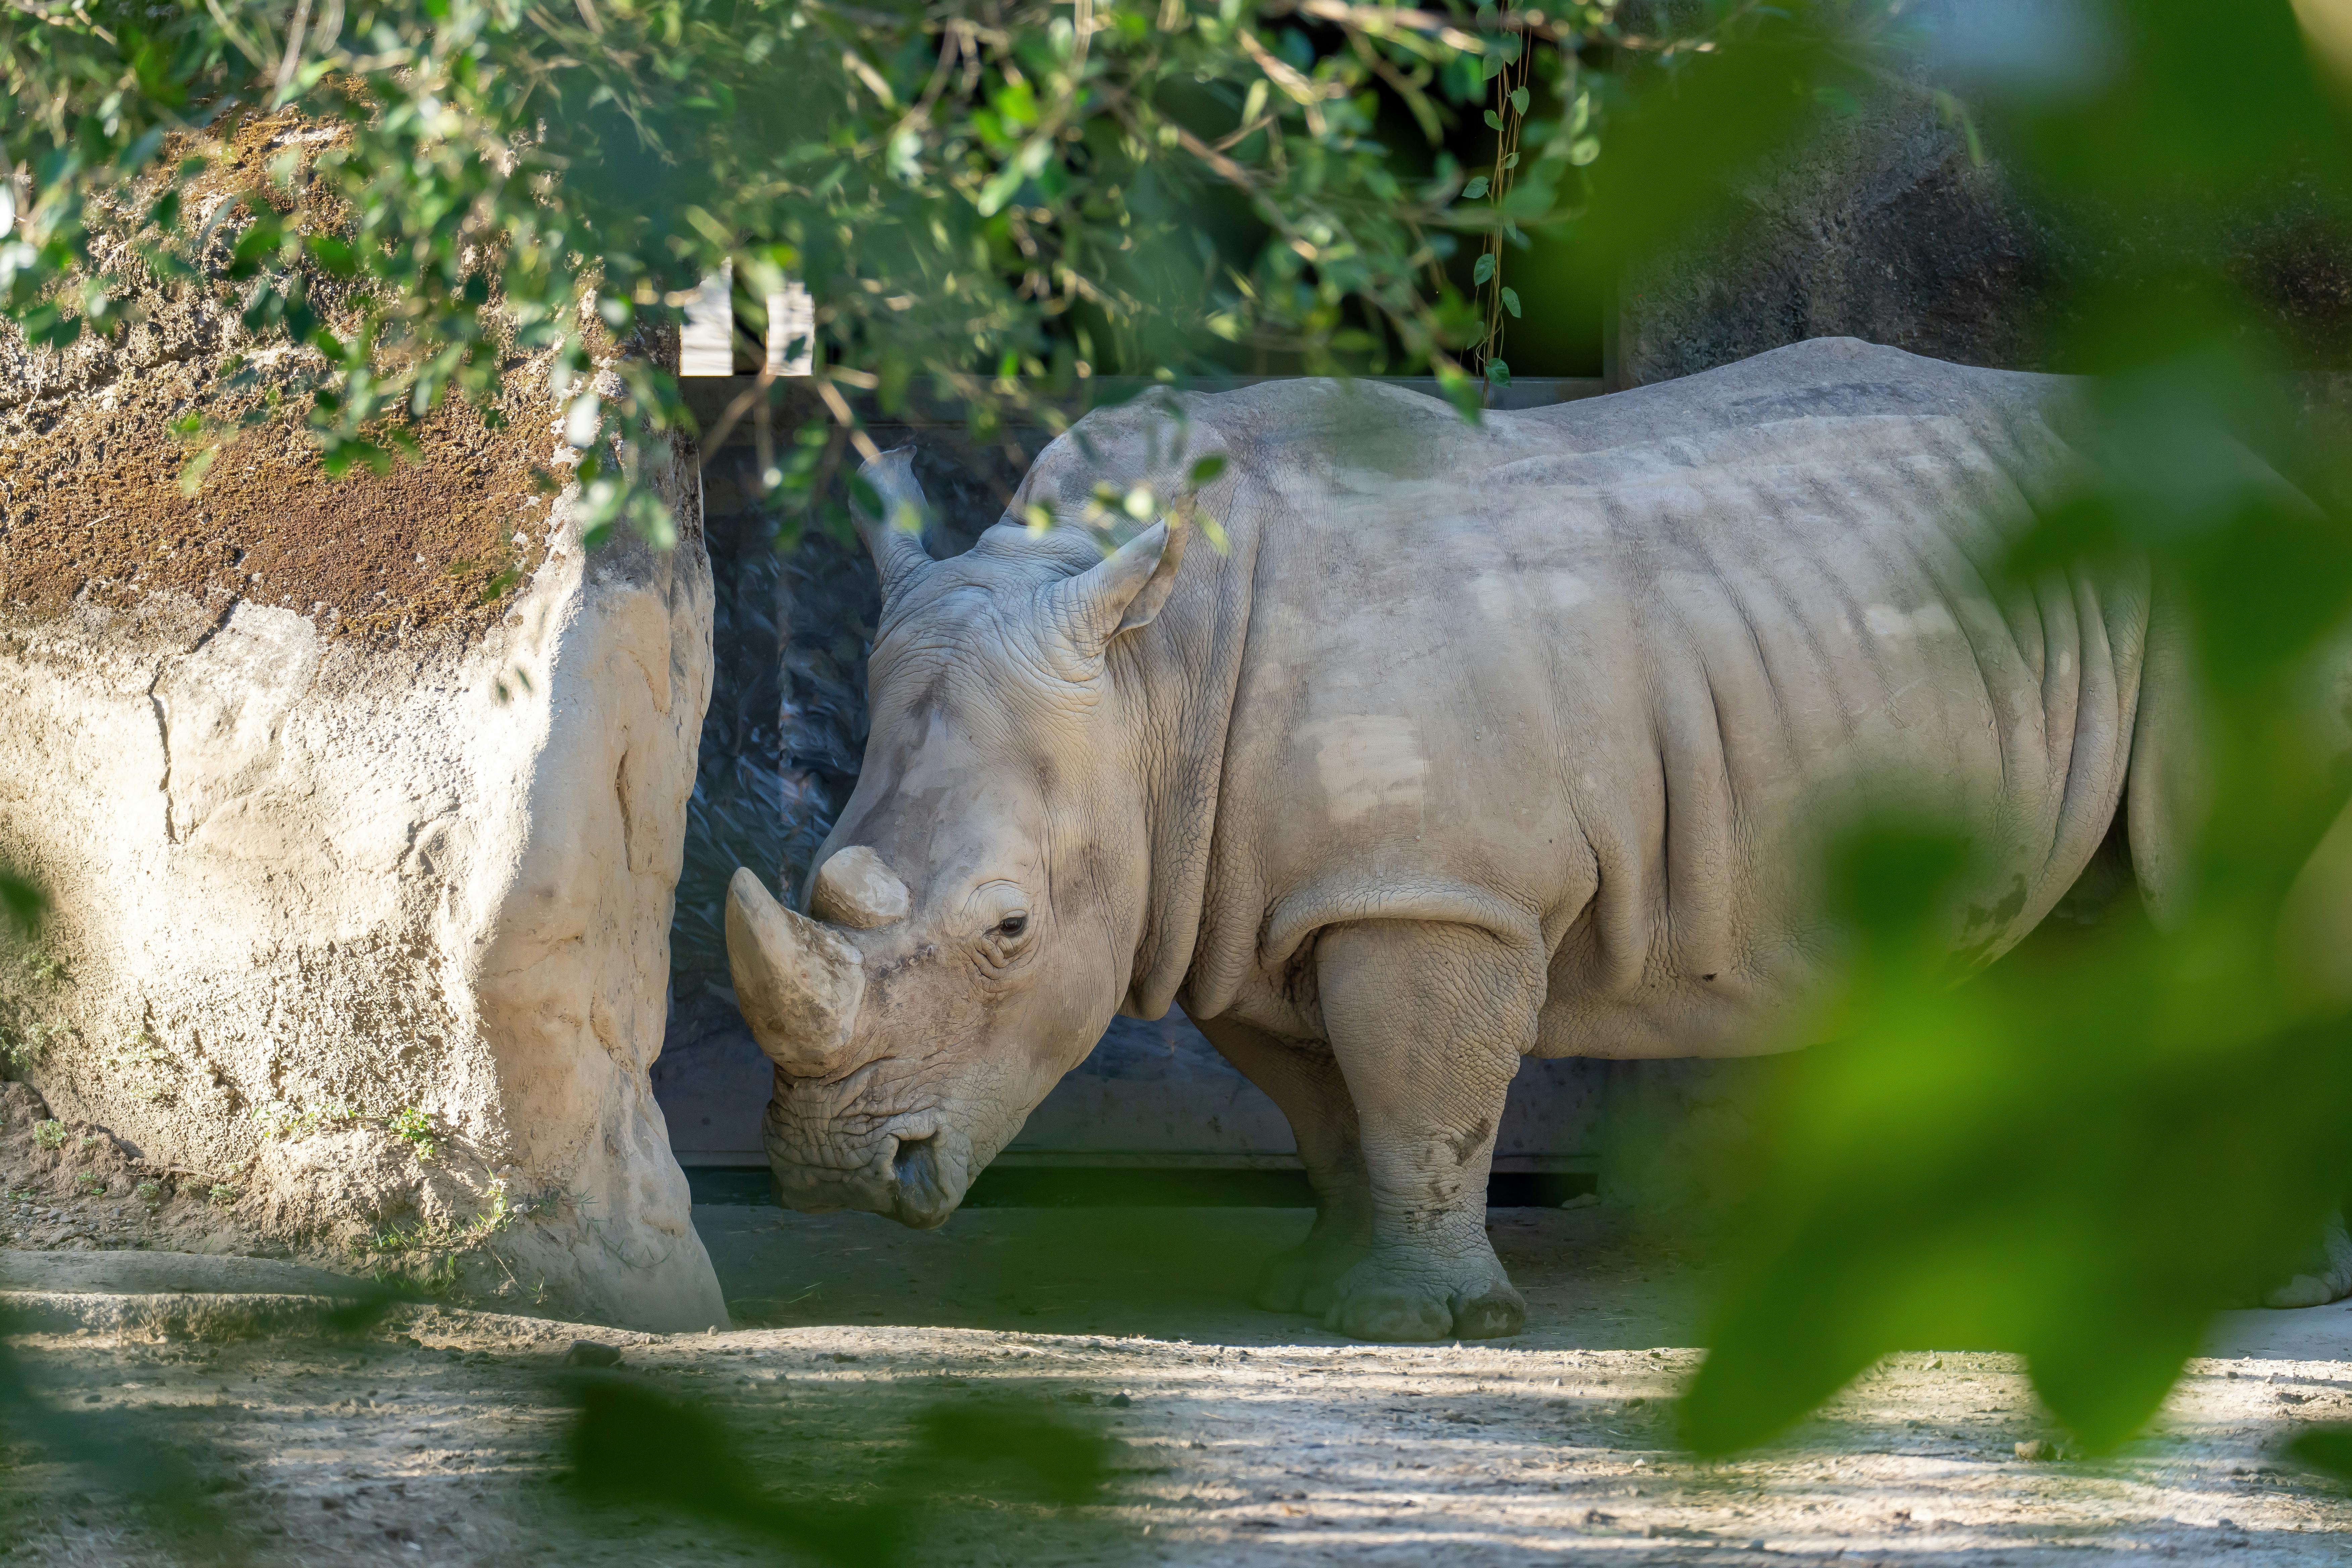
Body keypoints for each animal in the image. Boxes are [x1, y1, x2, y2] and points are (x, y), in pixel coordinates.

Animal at [720, 337, 2310, 1342]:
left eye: (1009, 929)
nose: (837, 1175)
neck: (1155, 673)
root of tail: (2276, 462)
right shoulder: (1271, 890)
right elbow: (1321, 1100)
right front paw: (1318, 1287)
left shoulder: (1433, 888)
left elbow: (1422, 1088)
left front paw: (1421, 1324)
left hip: (2242, 589)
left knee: (2240, 903)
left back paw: (2267, 1295)